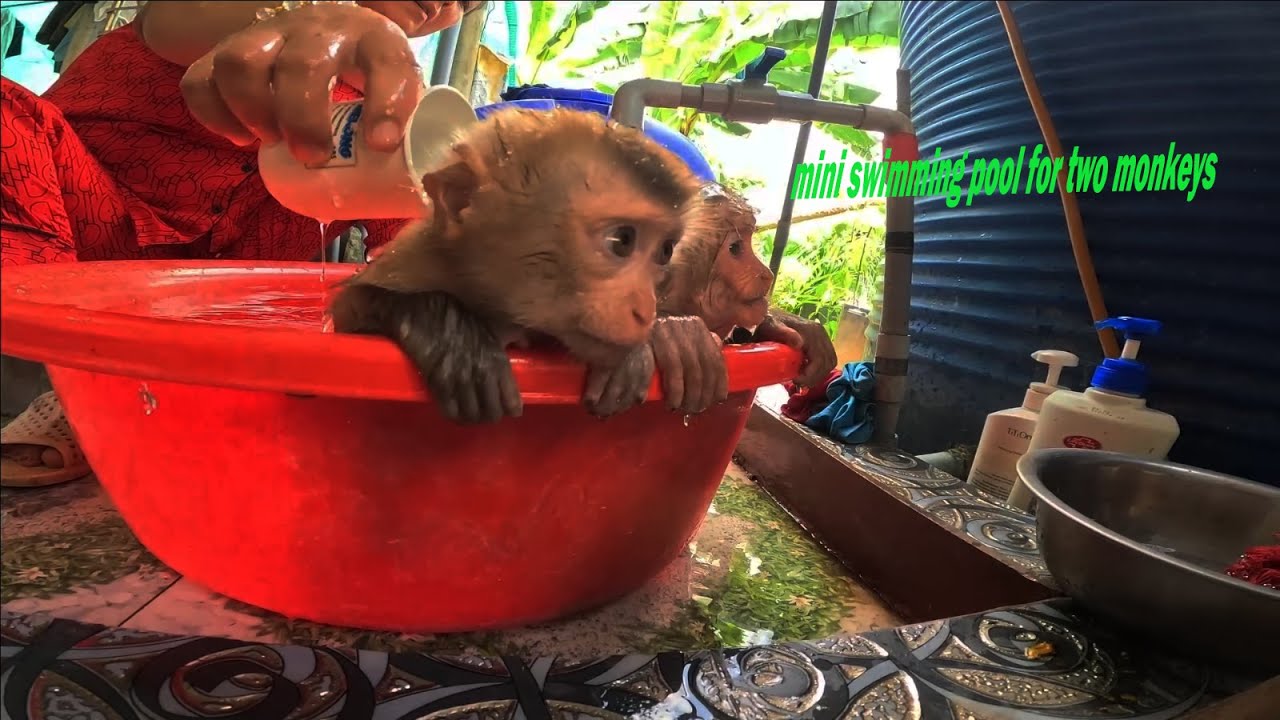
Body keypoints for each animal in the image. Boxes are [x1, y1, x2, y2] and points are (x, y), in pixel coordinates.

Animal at [328, 107, 706, 424]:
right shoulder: (412, 262)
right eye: (622, 240)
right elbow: (347, 310)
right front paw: (450, 336)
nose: (645, 311)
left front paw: (671, 339)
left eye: (666, 250)